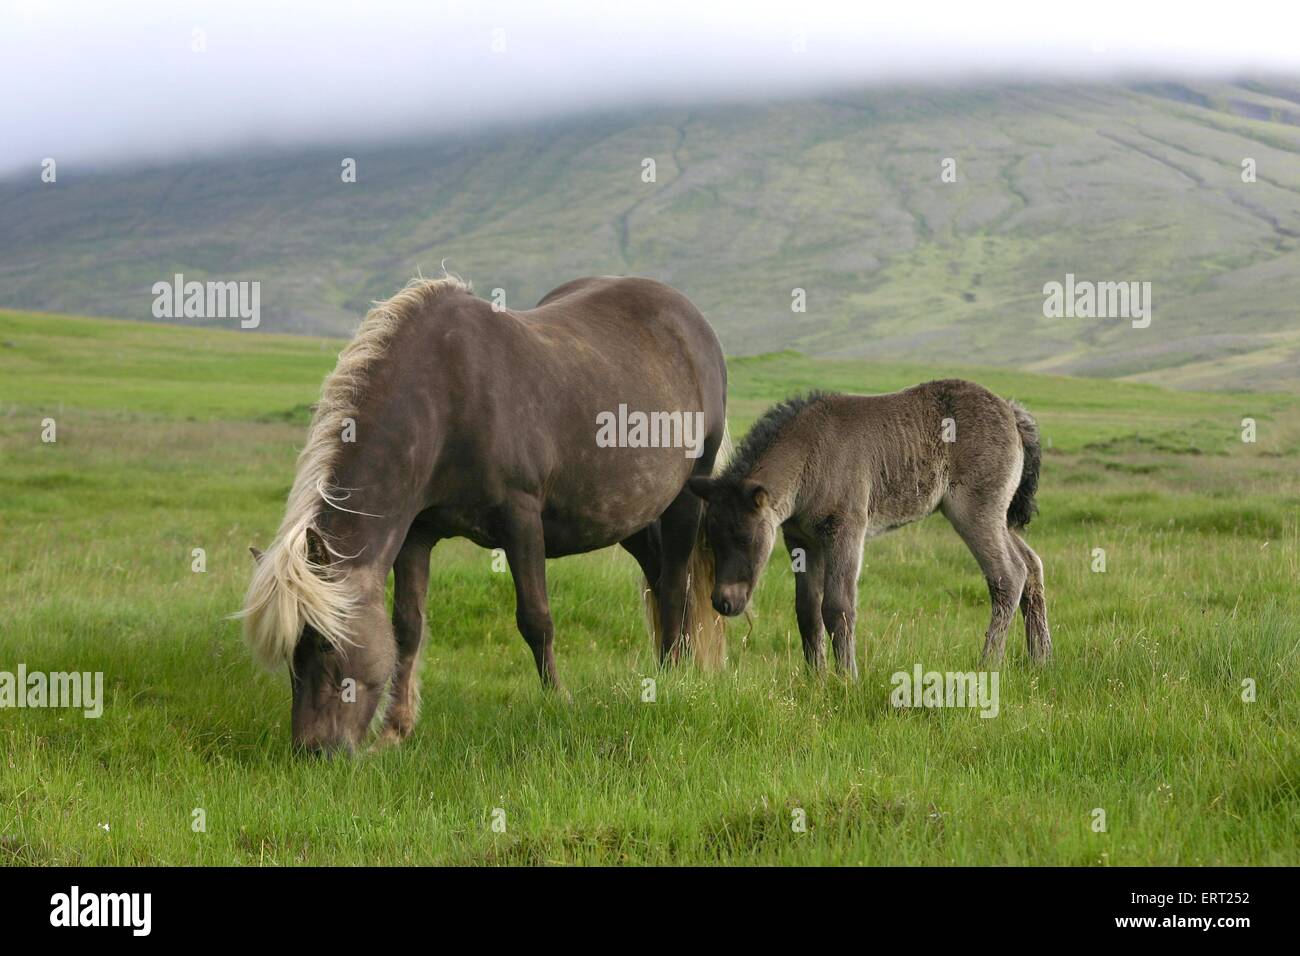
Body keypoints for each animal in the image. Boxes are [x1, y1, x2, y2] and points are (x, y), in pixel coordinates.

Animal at [240, 275, 730, 754]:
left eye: (324, 643)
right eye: (290, 652)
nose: (313, 750)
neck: (447, 398)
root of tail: (692, 322)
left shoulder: (521, 519)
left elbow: (536, 619)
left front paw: (560, 702)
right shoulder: (416, 533)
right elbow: (407, 628)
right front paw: (396, 730)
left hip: (687, 495)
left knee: (675, 586)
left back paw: (672, 675)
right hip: (630, 515)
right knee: (658, 577)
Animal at [687, 381, 1050, 677]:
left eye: (745, 539)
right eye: (710, 539)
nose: (723, 603)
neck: (810, 458)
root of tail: (1012, 412)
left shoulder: (846, 530)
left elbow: (837, 607)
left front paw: (848, 679)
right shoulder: (801, 540)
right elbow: (807, 611)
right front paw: (816, 679)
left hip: (975, 512)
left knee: (1008, 575)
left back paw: (988, 664)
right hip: (999, 515)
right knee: (1031, 565)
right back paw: (1041, 661)